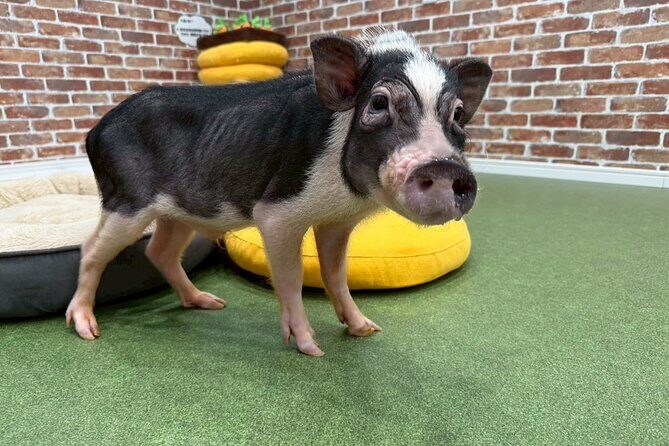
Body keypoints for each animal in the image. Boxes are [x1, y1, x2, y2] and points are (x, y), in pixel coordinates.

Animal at [66, 30, 492, 356]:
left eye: (456, 115)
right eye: (379, 102)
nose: (446, 167)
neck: (343, 196)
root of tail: (95, 131)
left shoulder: (337, 222)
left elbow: (336, 274)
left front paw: (366, 329)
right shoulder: (277, 213)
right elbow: (291, 277)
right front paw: (311, 349)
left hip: (179, 211)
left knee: (160, 251)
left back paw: (210, 304)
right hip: (127, 202)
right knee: (91, 249)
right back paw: (87, 329)